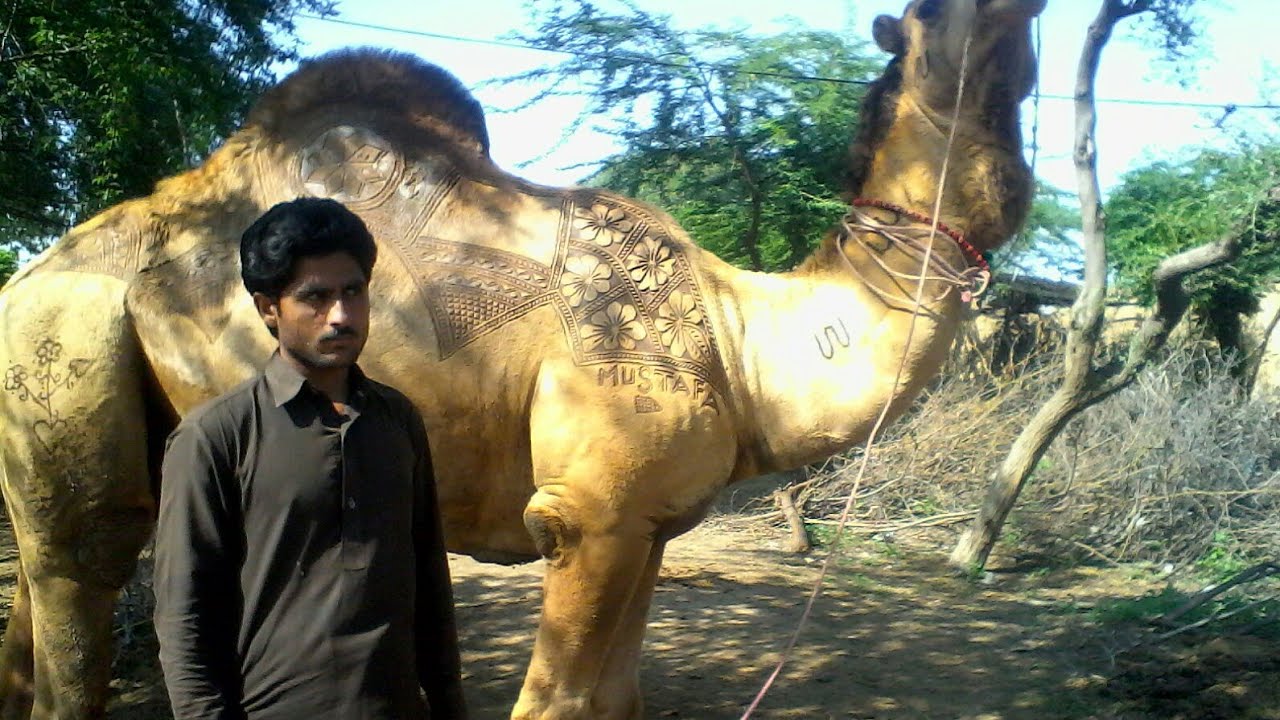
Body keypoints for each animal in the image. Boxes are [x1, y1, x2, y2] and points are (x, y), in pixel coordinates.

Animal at [0, 0, 1043, 717]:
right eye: (929, 16)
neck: (742, 341)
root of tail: (27, 277)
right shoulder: (586, 512)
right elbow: (559, 701)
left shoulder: (648, 522)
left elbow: (615, 698)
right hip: (66, 342)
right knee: (86, 571)